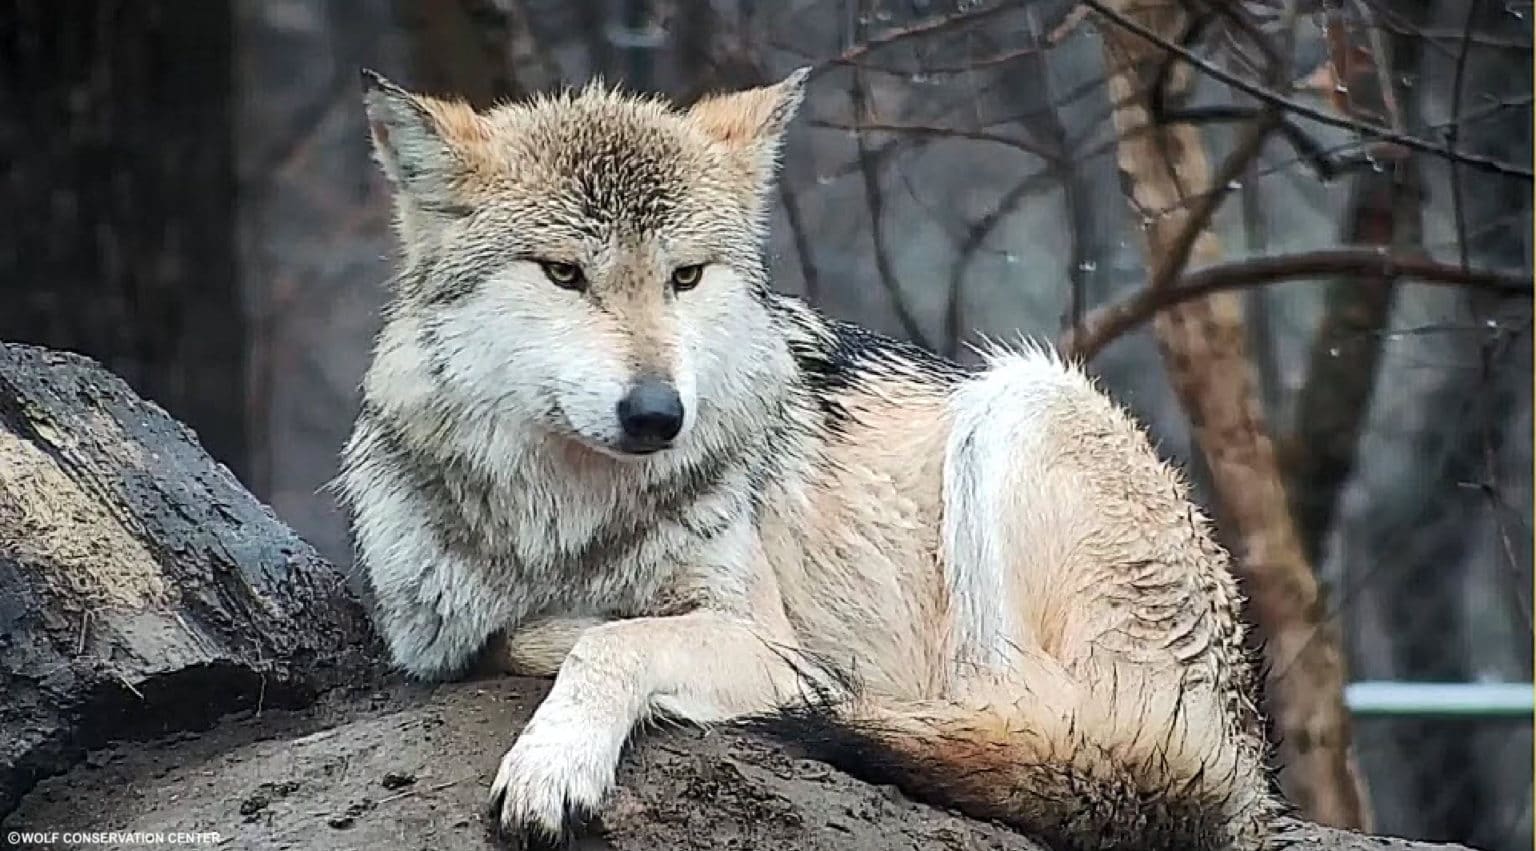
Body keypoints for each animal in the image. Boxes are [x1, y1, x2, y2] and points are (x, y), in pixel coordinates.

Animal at [338, 66, 1278, 851]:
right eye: (564, 273)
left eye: (685, 277)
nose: (658, 413)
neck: (564, 526)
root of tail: (1239, 758)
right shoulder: (425, 627)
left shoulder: (759, 637)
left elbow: (616, 641)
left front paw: (553, 759)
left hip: (1016, 405)